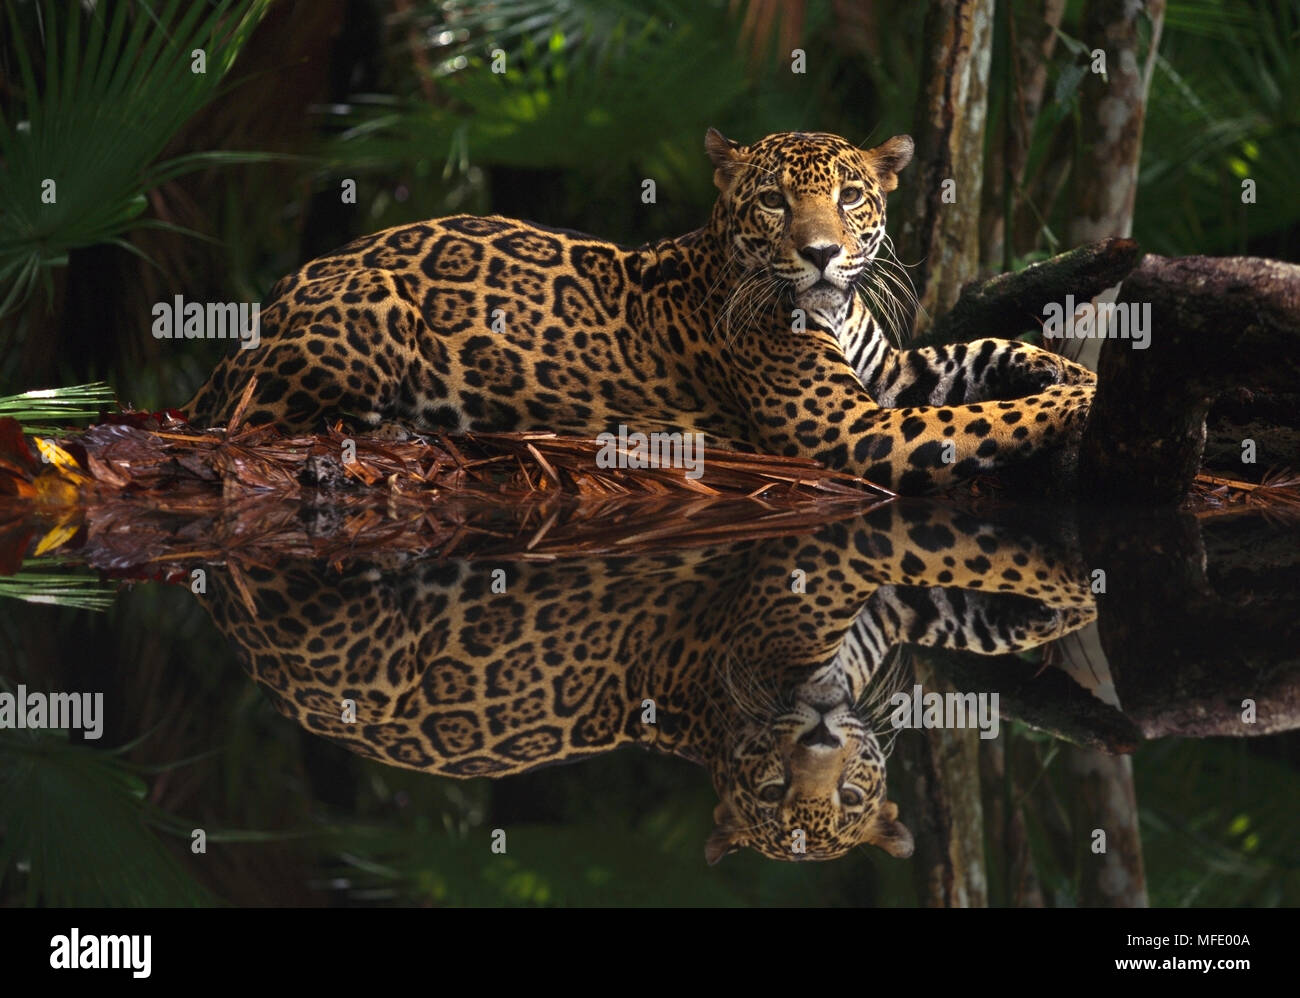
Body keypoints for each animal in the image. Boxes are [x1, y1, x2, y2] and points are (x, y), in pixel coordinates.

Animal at [185, 128, 1095, 495]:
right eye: (773, 201)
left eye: (849, 197)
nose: (821, 254)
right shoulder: (847, 429)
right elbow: (986, 421)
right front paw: (1078, 401)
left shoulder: (891, 376)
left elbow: (979, 352)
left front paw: (1074, 369)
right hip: (370, 314)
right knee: (267, 415)